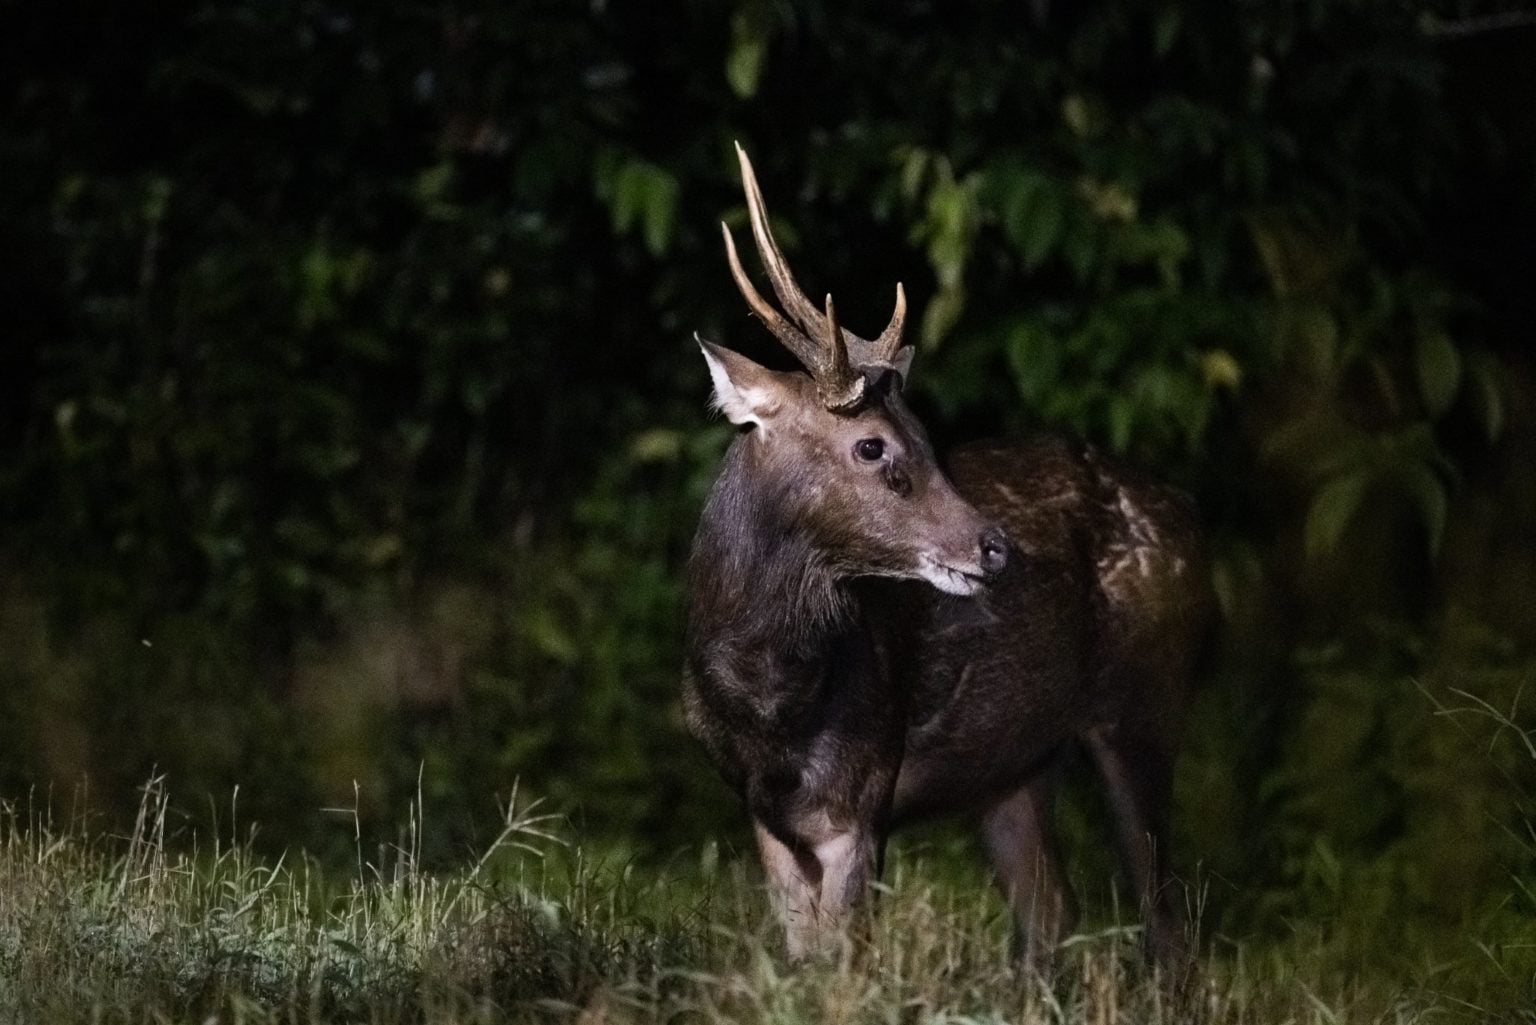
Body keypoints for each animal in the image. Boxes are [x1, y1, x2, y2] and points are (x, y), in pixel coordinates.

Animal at [682, 144, 1212, 972]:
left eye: (928, 434)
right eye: (873, 445)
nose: (993, 545)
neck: (770, 707)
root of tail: (1194, 523)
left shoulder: (862, 791)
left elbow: (842, 962)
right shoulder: (761, 809)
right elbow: (803, 959)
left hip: (1146, 700)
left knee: (1167, 919)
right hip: (1017, 762)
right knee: (1052, 911)